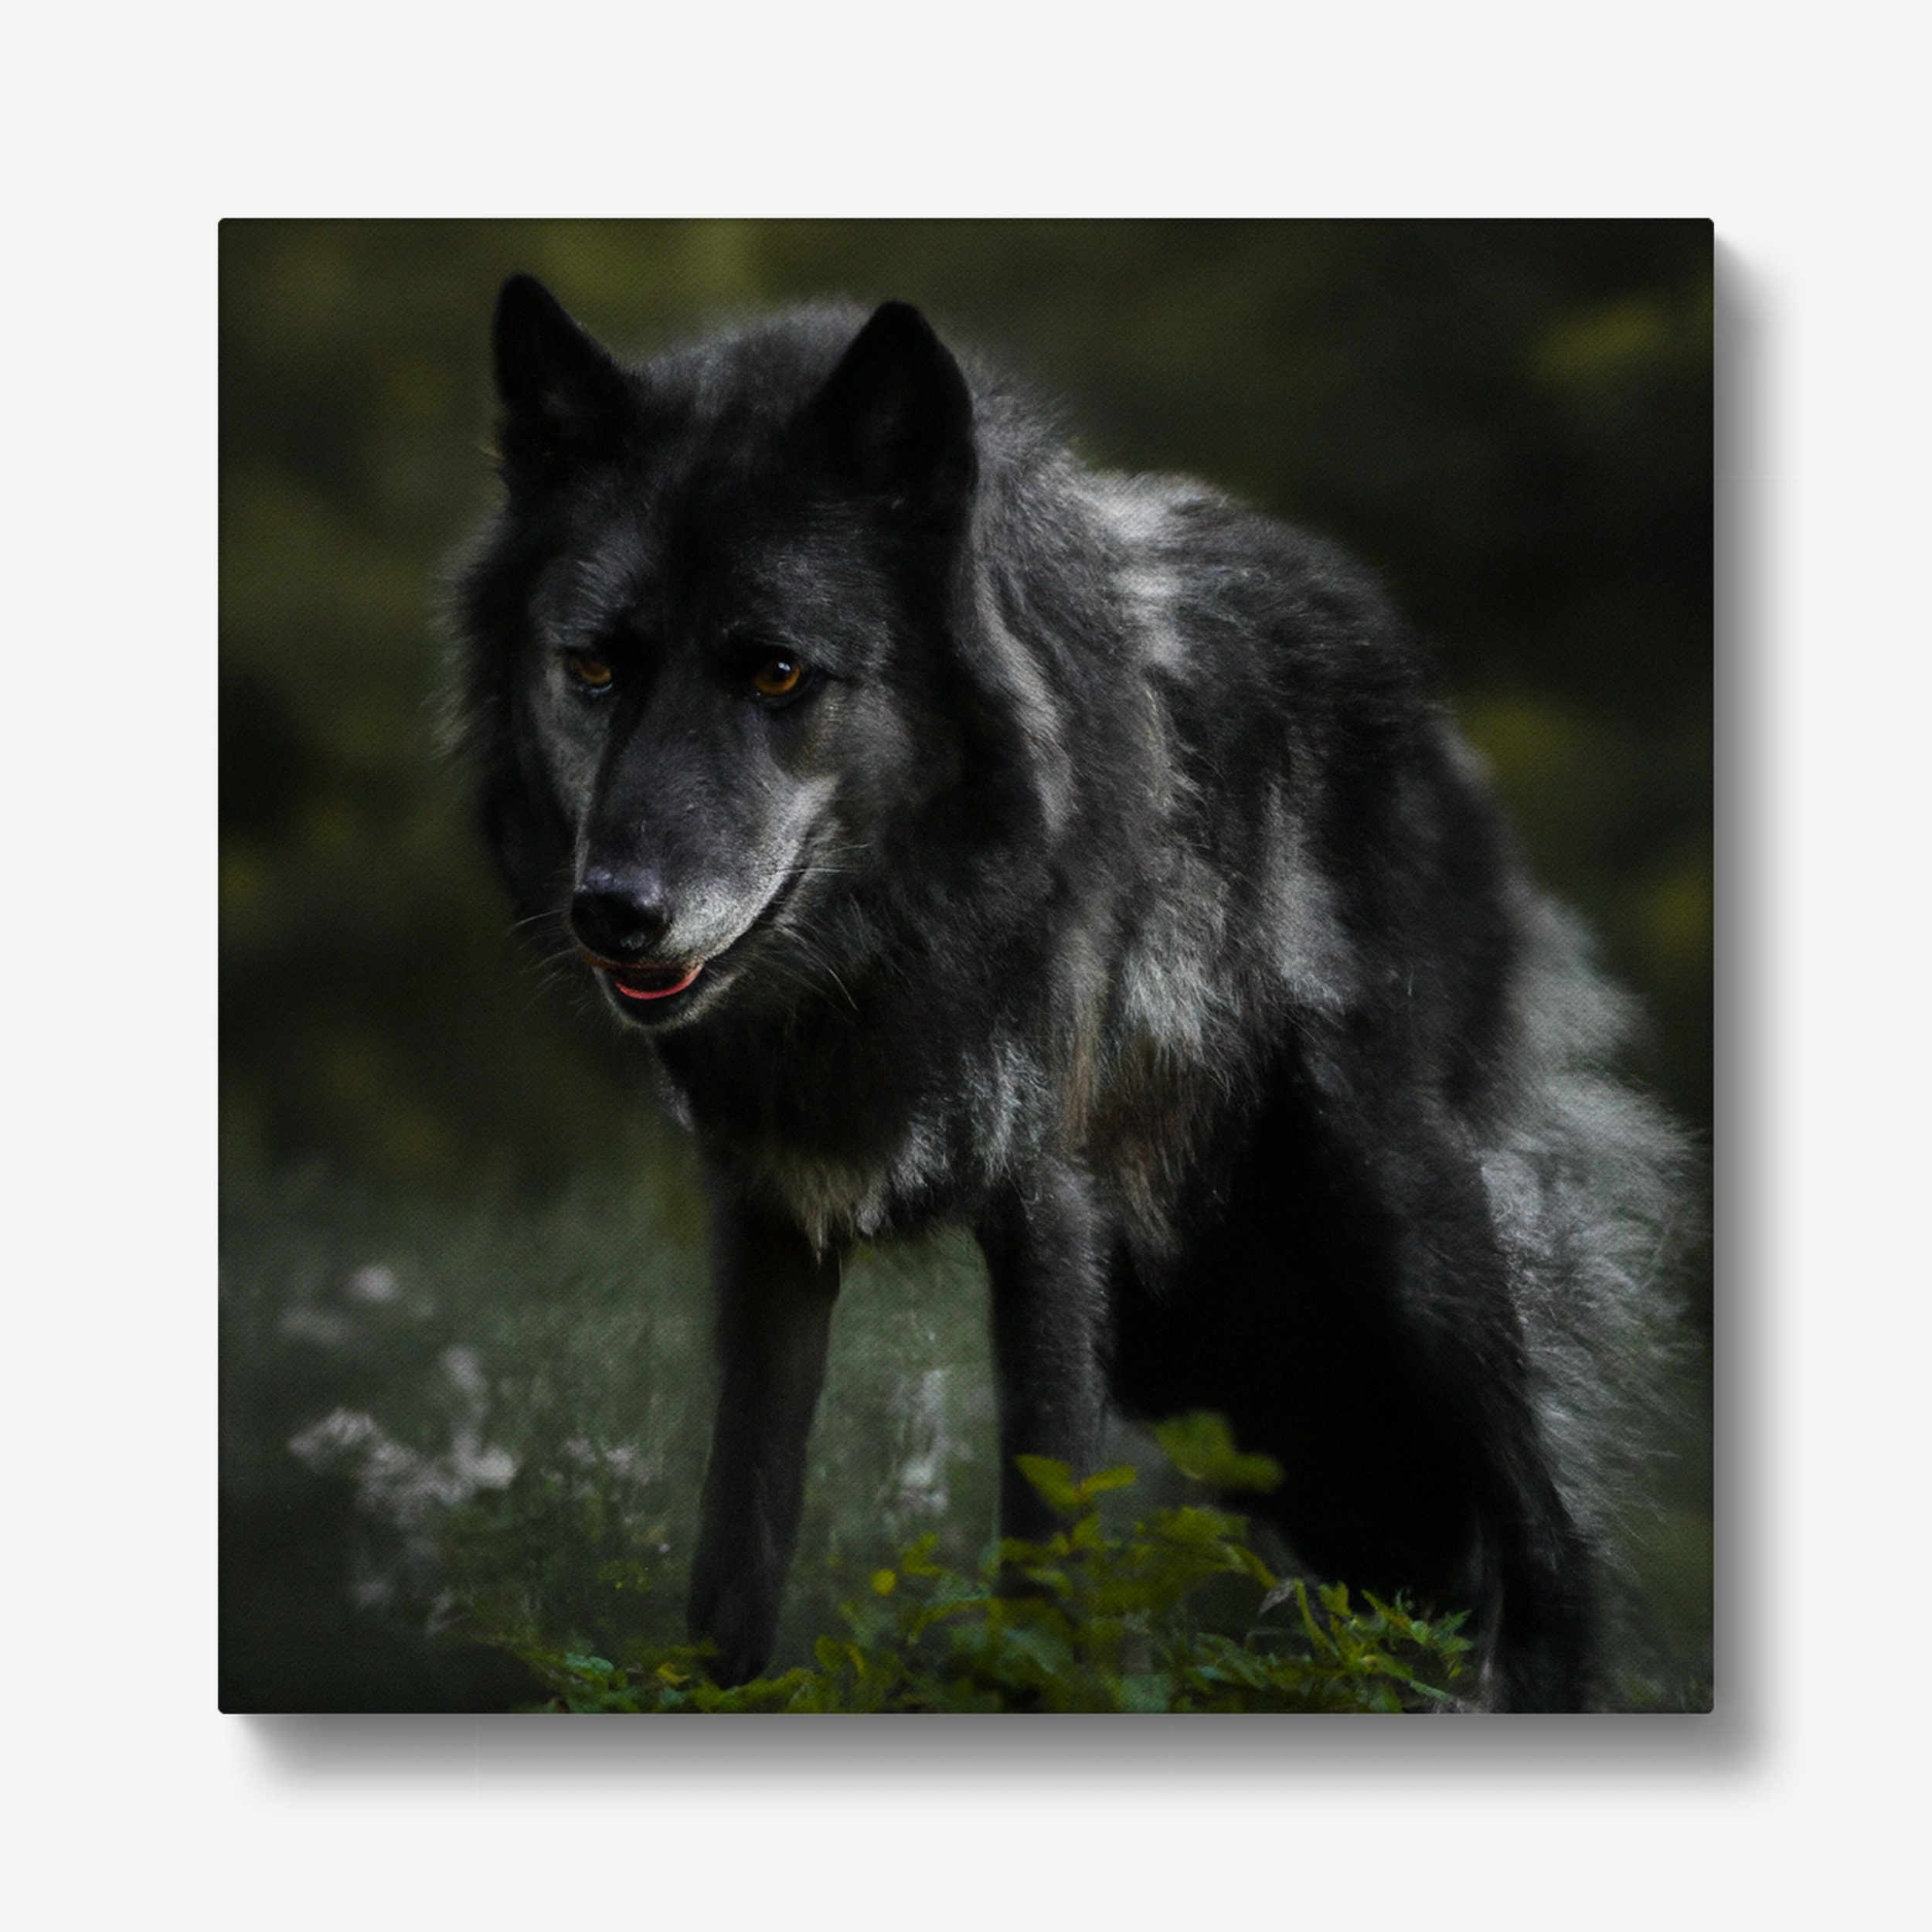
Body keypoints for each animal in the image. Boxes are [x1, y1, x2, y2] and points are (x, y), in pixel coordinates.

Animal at [450, 274, 1694, 1711]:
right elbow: (736, 1549)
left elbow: (1044, 1547)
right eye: (594, 668)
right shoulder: (769, 1219)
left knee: (1545, 1527)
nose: (616, 911)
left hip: (1392, 1214)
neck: (883, 956)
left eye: (776, 672)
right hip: (1223, 1350)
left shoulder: (1046, 1201)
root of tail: (1429, 700)